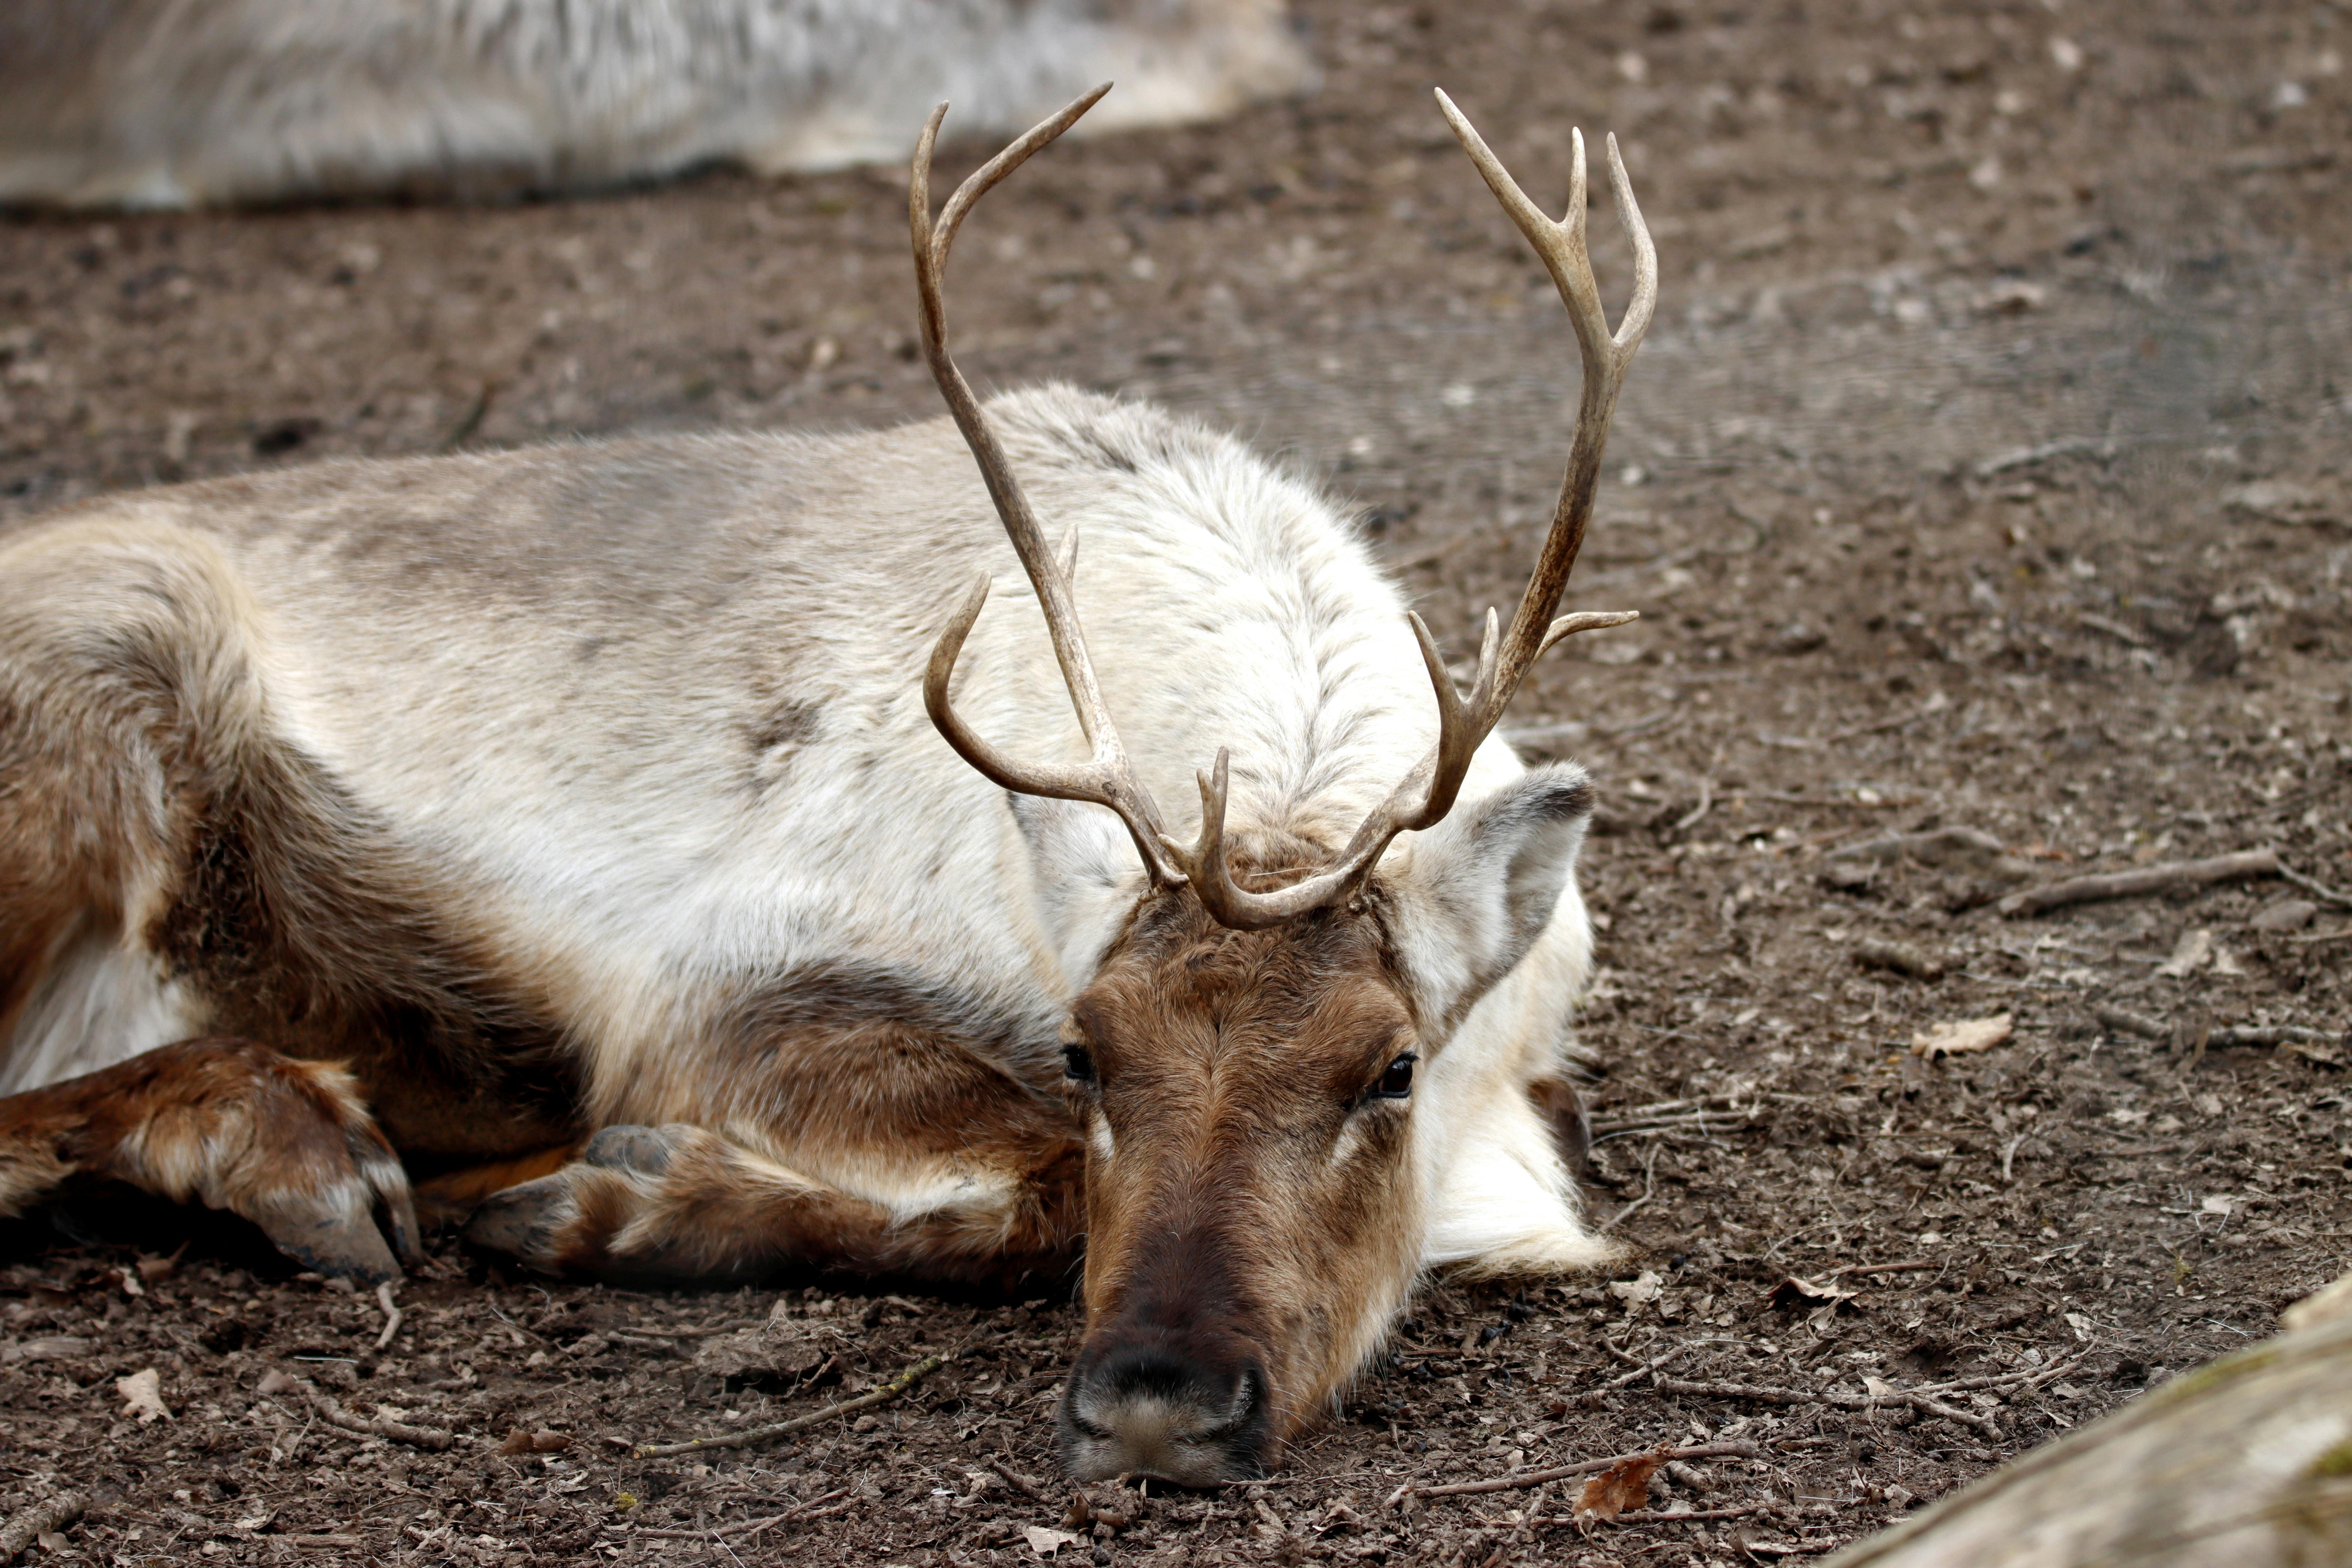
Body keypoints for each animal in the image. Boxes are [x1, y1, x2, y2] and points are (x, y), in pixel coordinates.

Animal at [0, 85, 1656, 1483]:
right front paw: (604, 1194)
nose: (1158, 1405)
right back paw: (295, 1149)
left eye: (1390, 1063)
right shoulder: (722, 996)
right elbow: (1042, 1188)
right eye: (1087, 1051)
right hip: (97, 692)